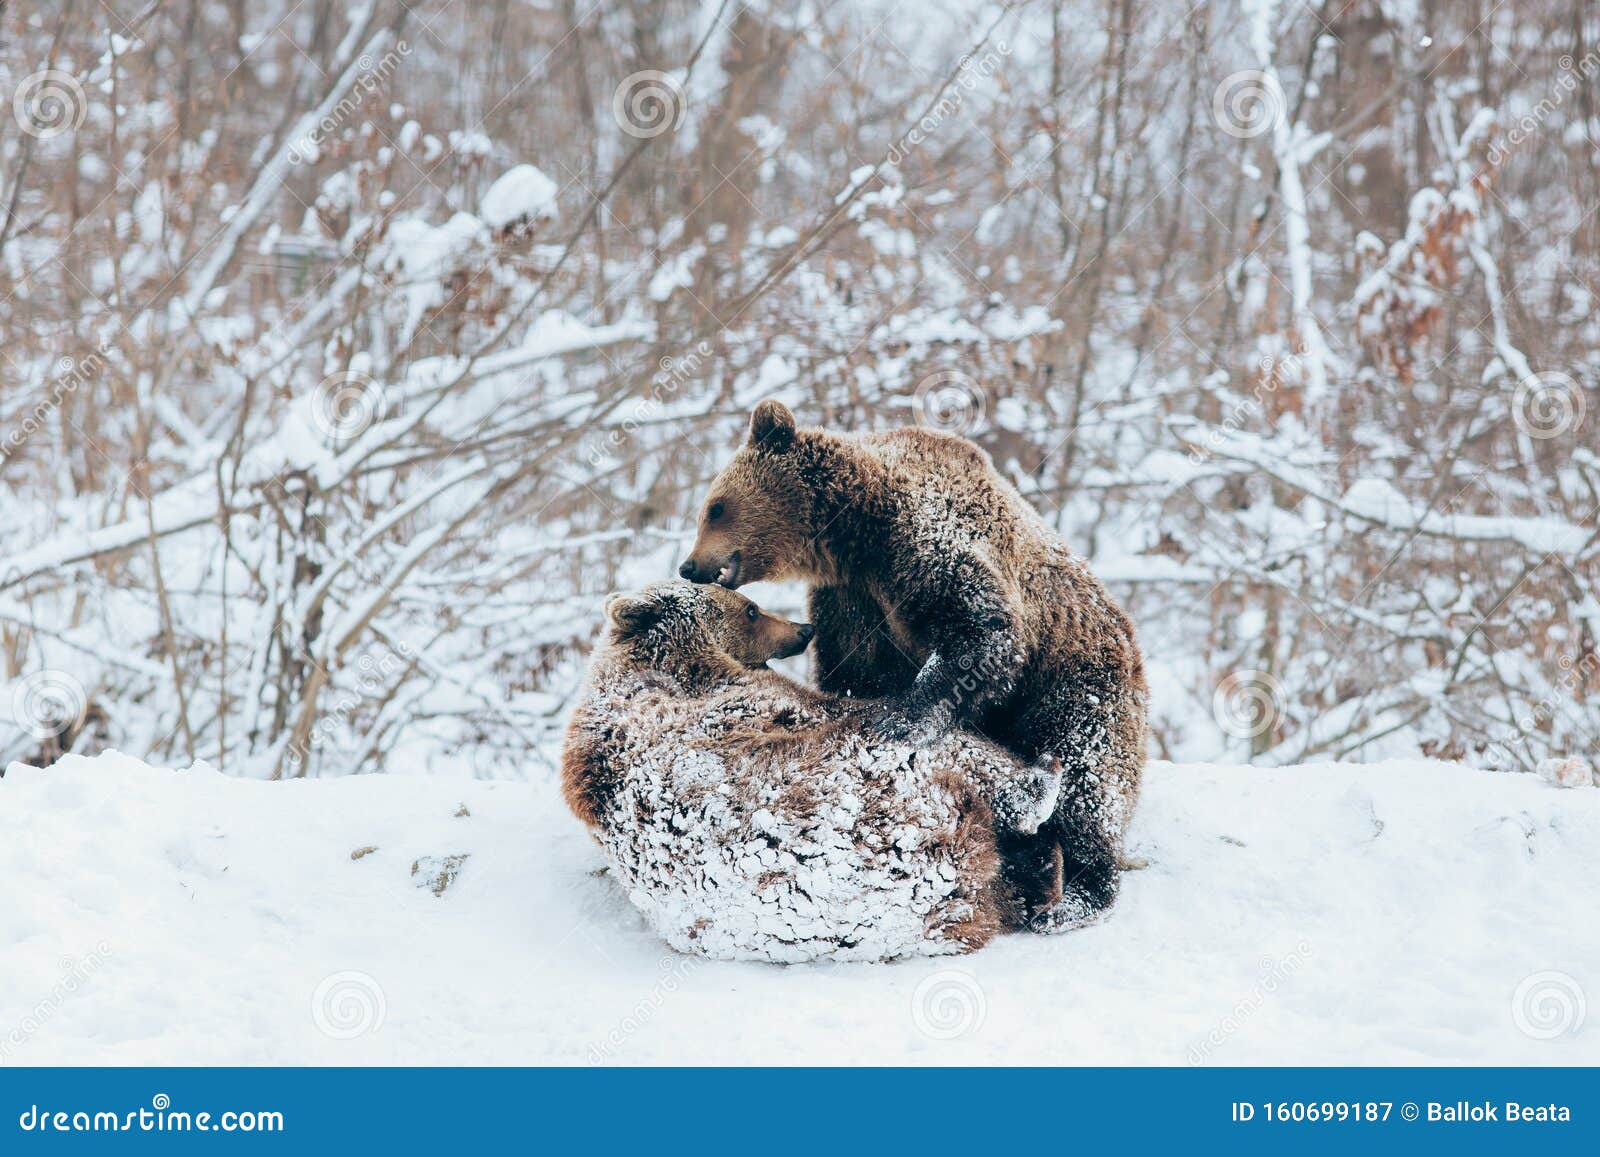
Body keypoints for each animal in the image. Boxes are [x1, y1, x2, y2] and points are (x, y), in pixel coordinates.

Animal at [561, 580, 1064, 962]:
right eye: (750, 610)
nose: (803, 629)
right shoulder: (753, 707)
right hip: (878, 786)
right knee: (960, 758)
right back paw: (1038, 787)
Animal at [678, 399, 1148, 932]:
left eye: (715, 507)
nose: (689, 566)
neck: (857, 536)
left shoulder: (930, 543)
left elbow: (981, 633)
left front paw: (901, 719)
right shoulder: (854, 601)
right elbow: (857, 670)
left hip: (1077, 682)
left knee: (1087, 776)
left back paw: (1078, 895)